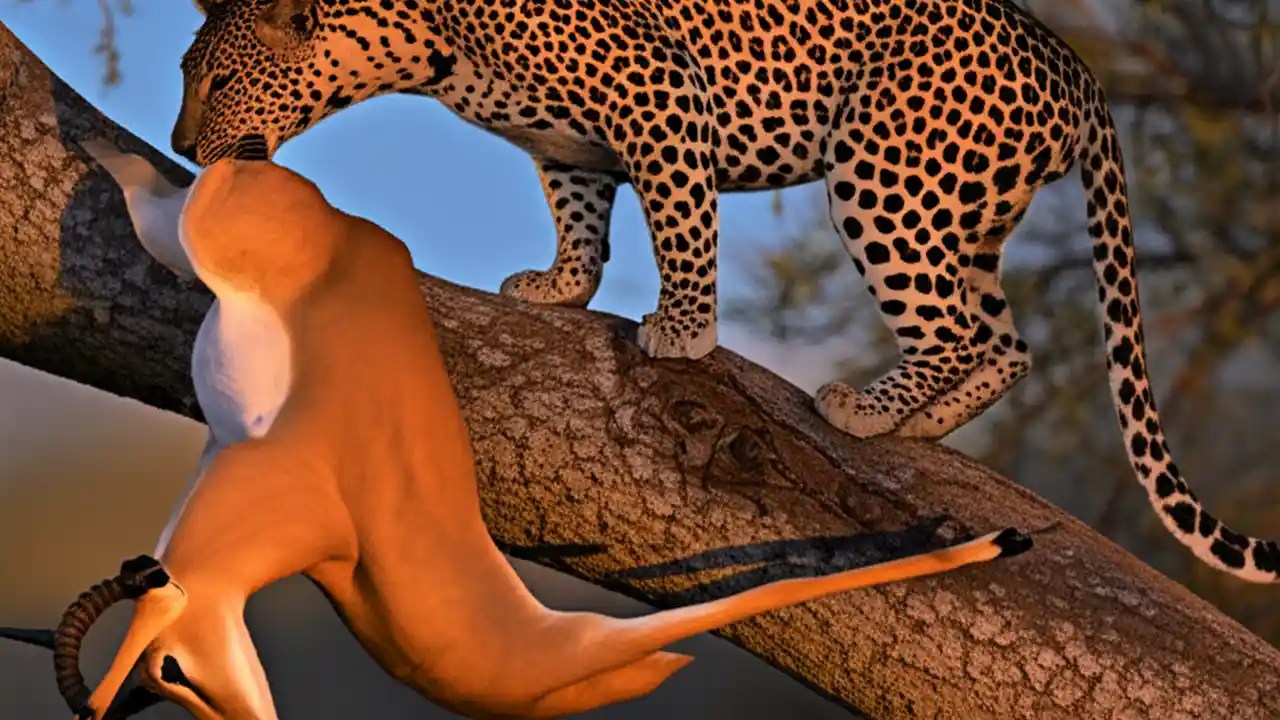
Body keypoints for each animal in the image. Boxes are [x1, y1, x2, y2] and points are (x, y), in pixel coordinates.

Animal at [1, 143, 1033, 719]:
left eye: (169, 669)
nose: (1010, 538)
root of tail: (347, 227)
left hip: (212, 237)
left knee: (166, 198)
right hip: (214, 236)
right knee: (165, 197)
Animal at [173, 0, 1278, 583]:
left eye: (217, 81)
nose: (184, 148)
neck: (424, 45)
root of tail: (1074, 62)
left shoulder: (660, 96)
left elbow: (680, 223)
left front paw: (685, 331)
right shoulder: (568, 144)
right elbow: (583, 214)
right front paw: (558, 286)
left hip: (883, 173)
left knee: (957, 330)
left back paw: (864, 411)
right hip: (961, 206)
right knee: (1005, 341)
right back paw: (918, 423)